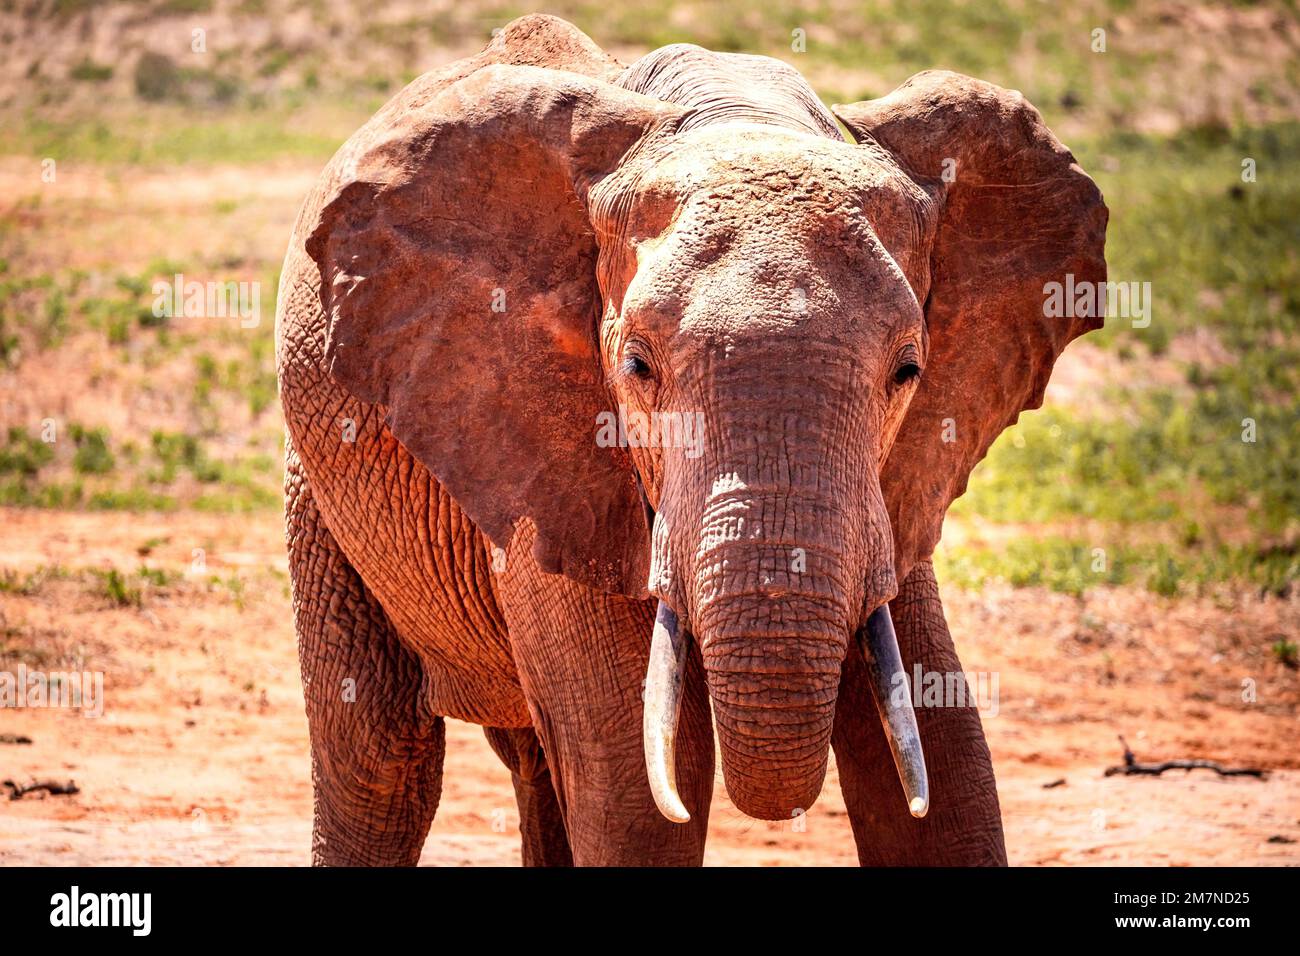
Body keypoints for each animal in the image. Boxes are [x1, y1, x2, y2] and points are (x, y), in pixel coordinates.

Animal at [275, 14, 1107, 866]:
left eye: (908, 370)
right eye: (638, 367)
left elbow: (949, 764)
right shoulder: (551, 462)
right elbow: (631, 790)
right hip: (320, 485)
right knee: (379, 765)